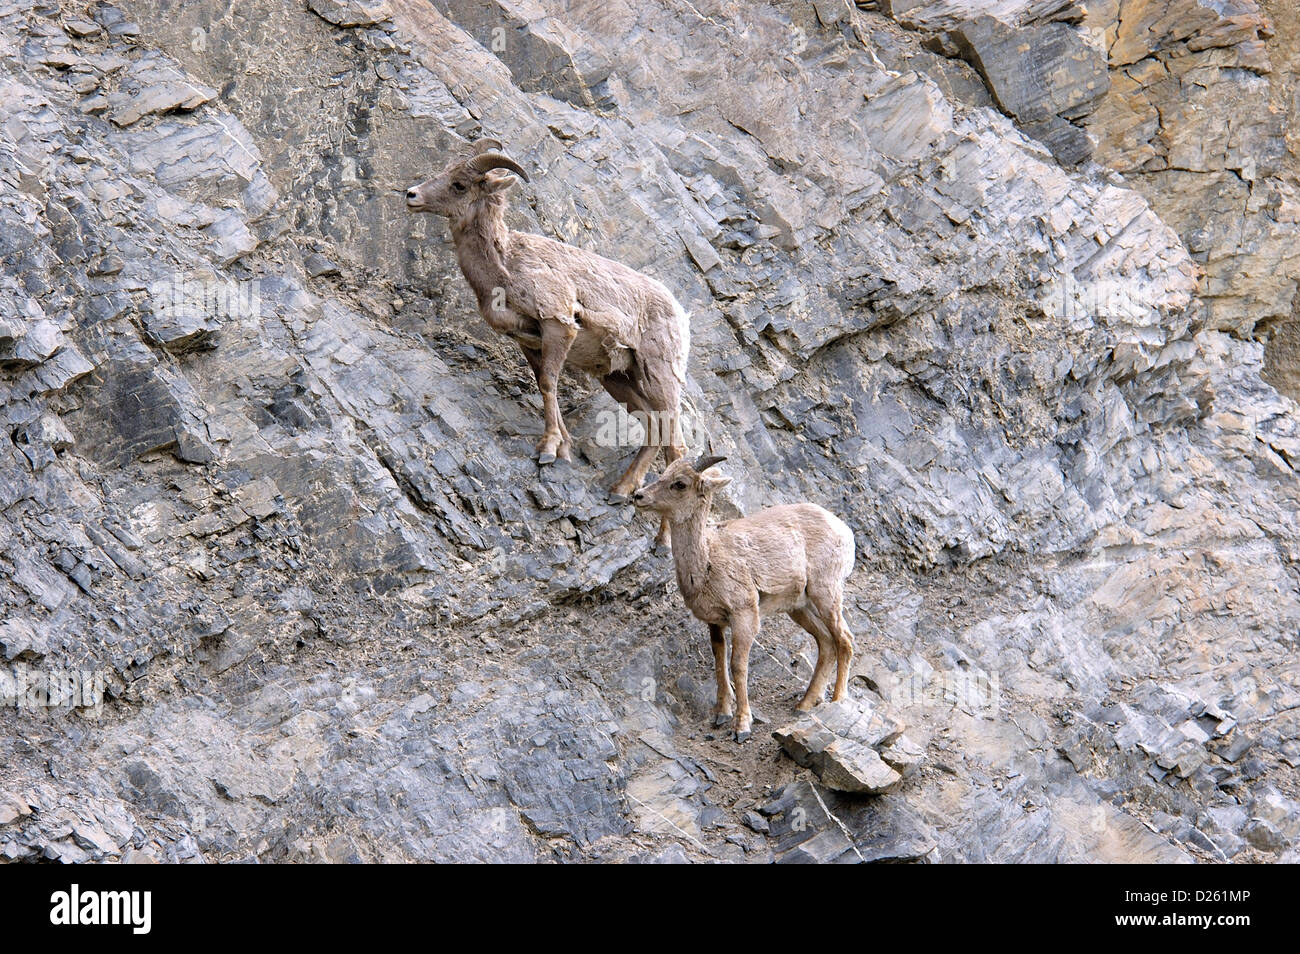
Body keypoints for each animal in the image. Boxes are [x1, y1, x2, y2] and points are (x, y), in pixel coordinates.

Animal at [404, 139, 690, 542]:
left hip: (659, 376)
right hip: (616, 378)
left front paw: (548, 451)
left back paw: (663, 539)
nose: (411, 195)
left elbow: (549, 384)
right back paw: (619, 492)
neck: (505, 267)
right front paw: (564, 448)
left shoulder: (558, 327)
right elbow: (544, 385)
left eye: (460, 184)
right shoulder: (530, 343)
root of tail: (680, 313)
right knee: (654, 428)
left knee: (675, 445)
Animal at [633, 455, 857, 742]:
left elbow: (738, 665)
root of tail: (845, 531)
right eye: (663, 473)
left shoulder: (744, 615)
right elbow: (719, 661)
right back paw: (803, 706)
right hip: (799, 608)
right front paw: (721, 714)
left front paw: (741, 726)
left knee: (844, 639)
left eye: (680, 484)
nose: (638, 496)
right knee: (826, 642)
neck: (706, 563)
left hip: (826, 592)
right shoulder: (715, 621)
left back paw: (837, 701)